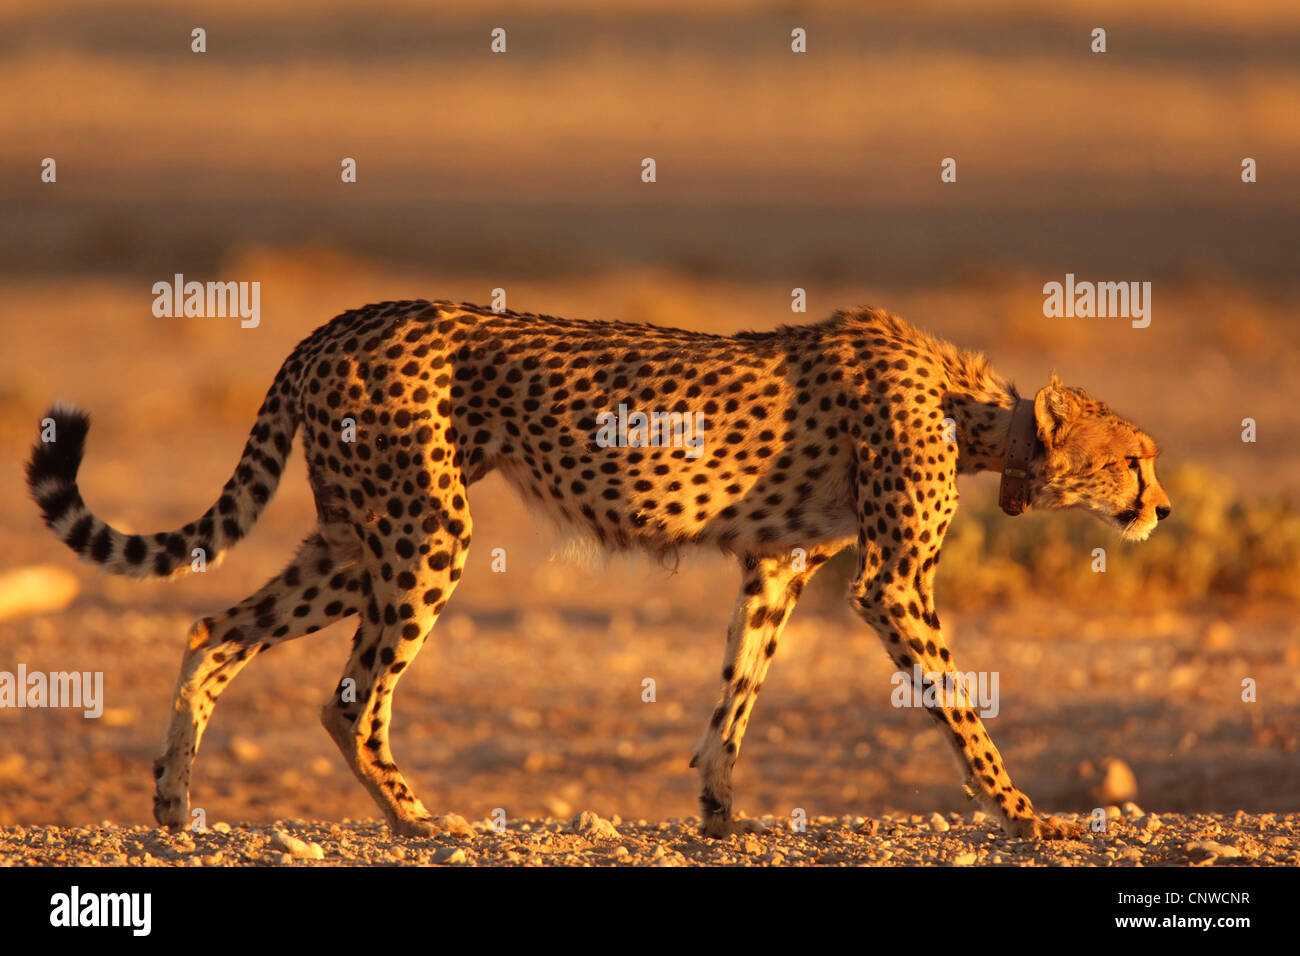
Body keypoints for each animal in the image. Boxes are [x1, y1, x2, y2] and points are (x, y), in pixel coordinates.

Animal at [26, 300, 1171, 841]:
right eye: (1134, 458)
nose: (1160, 507)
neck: (976, 413)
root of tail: (343, 319)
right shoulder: (889, 582)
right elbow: (960, 705)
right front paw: (1024, 814)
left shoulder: (778, 563)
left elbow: (738, 690)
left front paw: (718, 810)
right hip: (423, 531)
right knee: (348, 698)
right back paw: (417, 818)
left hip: (355, 539)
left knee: (213, 630)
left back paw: (173, 805)